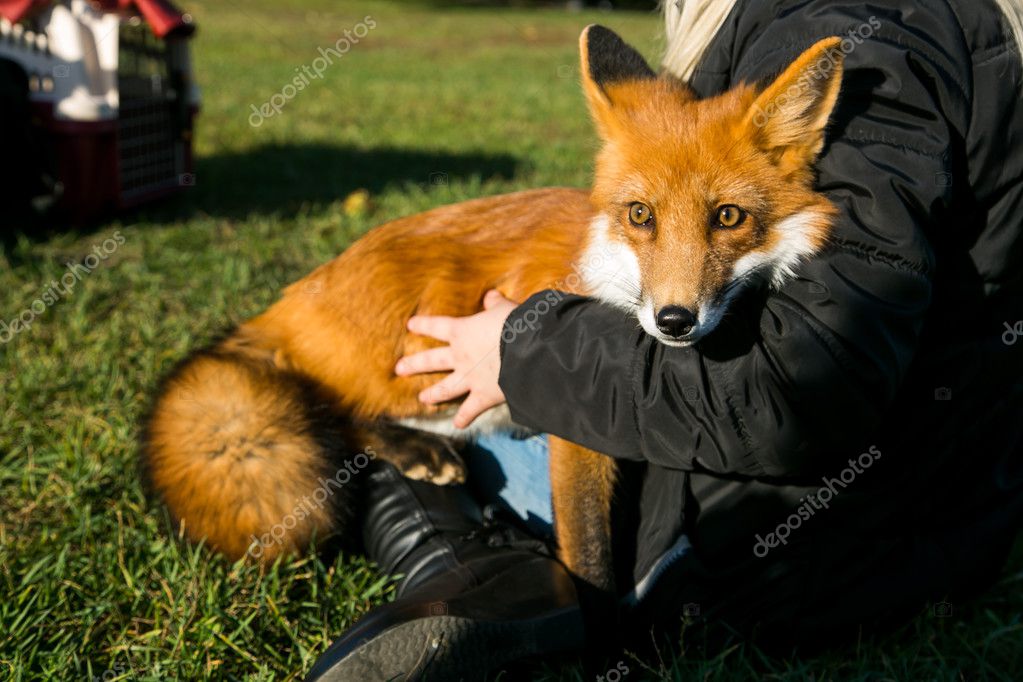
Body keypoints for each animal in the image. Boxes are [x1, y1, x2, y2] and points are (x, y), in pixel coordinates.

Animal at [141, 25, 845, 593]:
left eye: (728, 217)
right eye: (640, 215)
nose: (674, 321)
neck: (604, 268)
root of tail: (292, 299)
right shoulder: (576, 438)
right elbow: (590, 556)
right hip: (423, 370)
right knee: (329, 412)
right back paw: (407, 450)